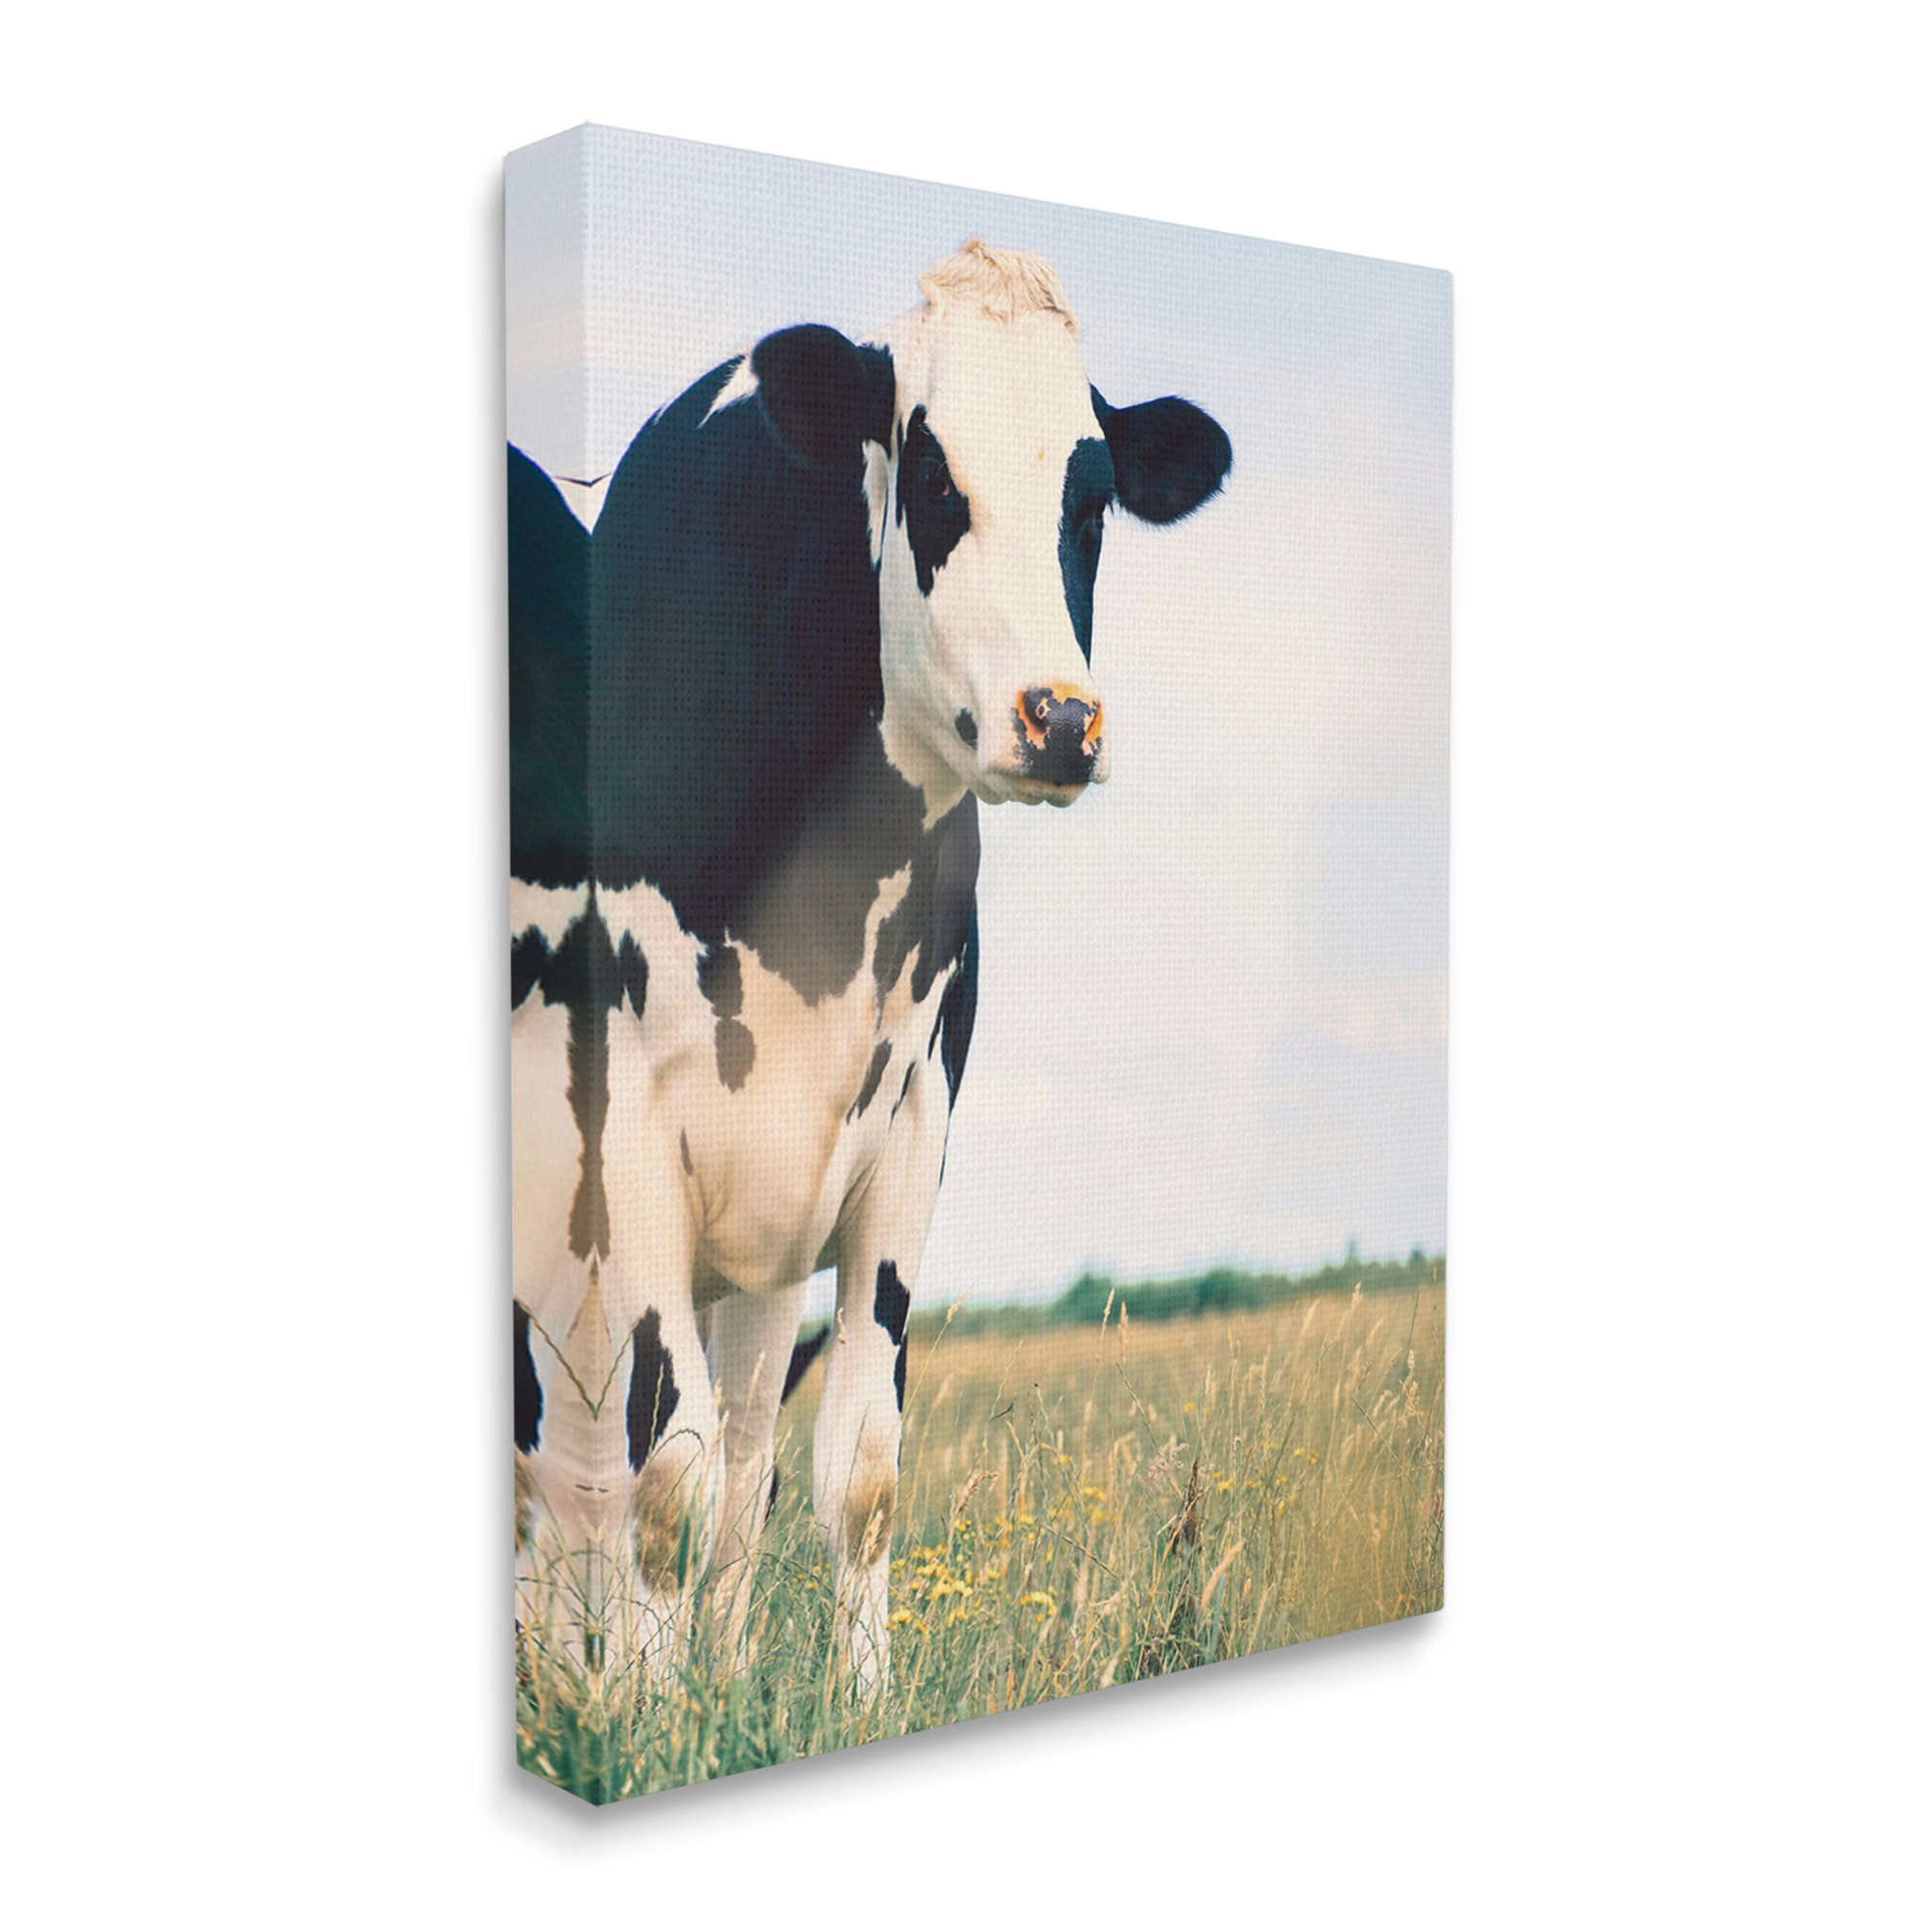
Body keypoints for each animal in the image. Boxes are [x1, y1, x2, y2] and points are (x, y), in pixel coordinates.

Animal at [510, 240, 1231, 1696]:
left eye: (1092, 500)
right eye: (934, 475)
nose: (1060, 720)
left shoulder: (902, 1127)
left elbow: (846, 1470)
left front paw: (834, 1704)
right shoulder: (631, 1136)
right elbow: (660, 1469)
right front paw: (648, 1718)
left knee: (722, 1458)